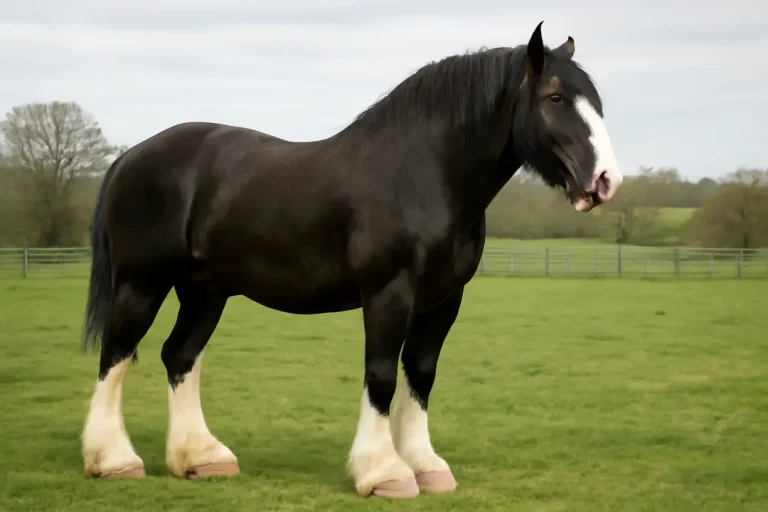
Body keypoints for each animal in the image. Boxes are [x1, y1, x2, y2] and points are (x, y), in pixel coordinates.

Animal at [80, 21, 623, 499]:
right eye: (555, 97)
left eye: (595, 102)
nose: (605, 181)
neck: (423, 174)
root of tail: (131, 156)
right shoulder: (388, 293)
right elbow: (381, 373)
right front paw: (384, 472)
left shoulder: (443, 300)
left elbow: (420, 373)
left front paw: (425, 466)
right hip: (142, 282)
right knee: (117, 351)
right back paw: (114, 460)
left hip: (205, 290)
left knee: (180, 355)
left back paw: (200, 458)